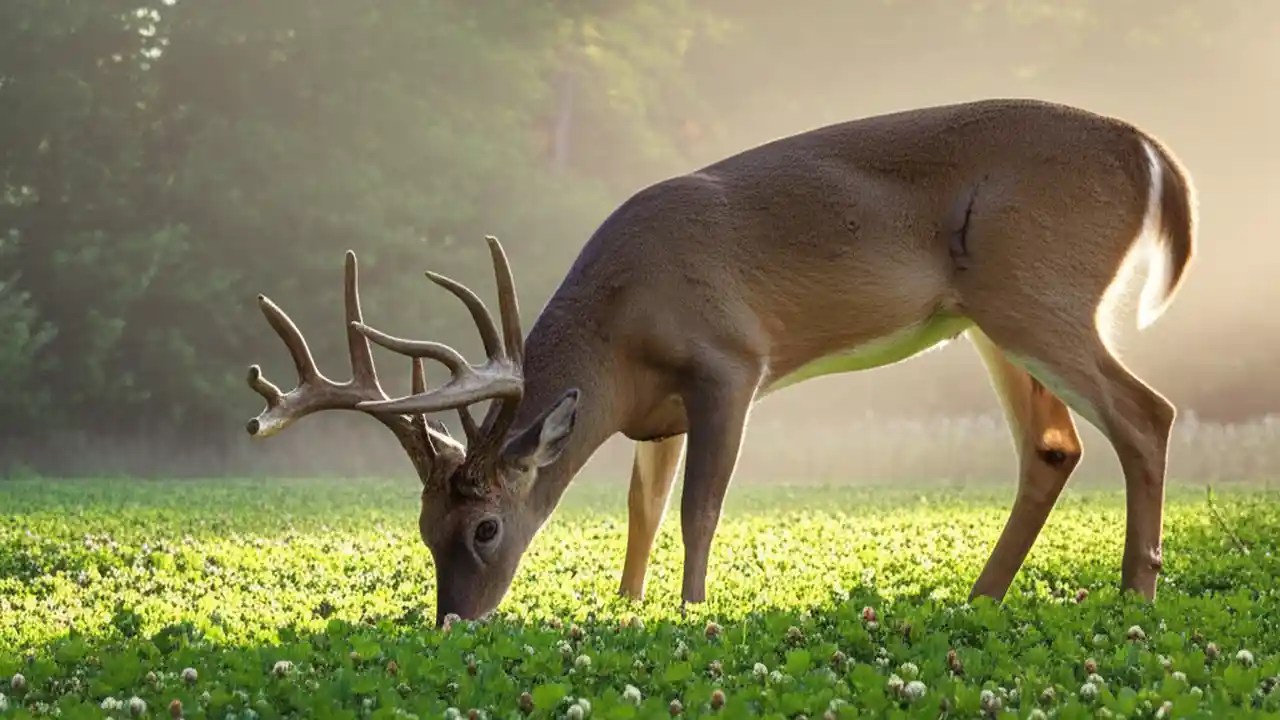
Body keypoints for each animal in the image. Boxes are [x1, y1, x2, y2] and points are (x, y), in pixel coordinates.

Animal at [246, 98, 1195, 624]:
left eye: (483, 529)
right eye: (422, 529)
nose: (454, 625)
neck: (621, 326)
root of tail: (1154, 156)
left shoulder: (731, 362)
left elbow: (701, 507)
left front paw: (689, 610)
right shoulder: (650, 412)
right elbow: (642, 509)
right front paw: (627, 607)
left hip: (1039, 292)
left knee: (1147, 412)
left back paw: (1135, 595)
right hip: (992, 321)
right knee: (1055, 446)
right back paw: (981, 597)